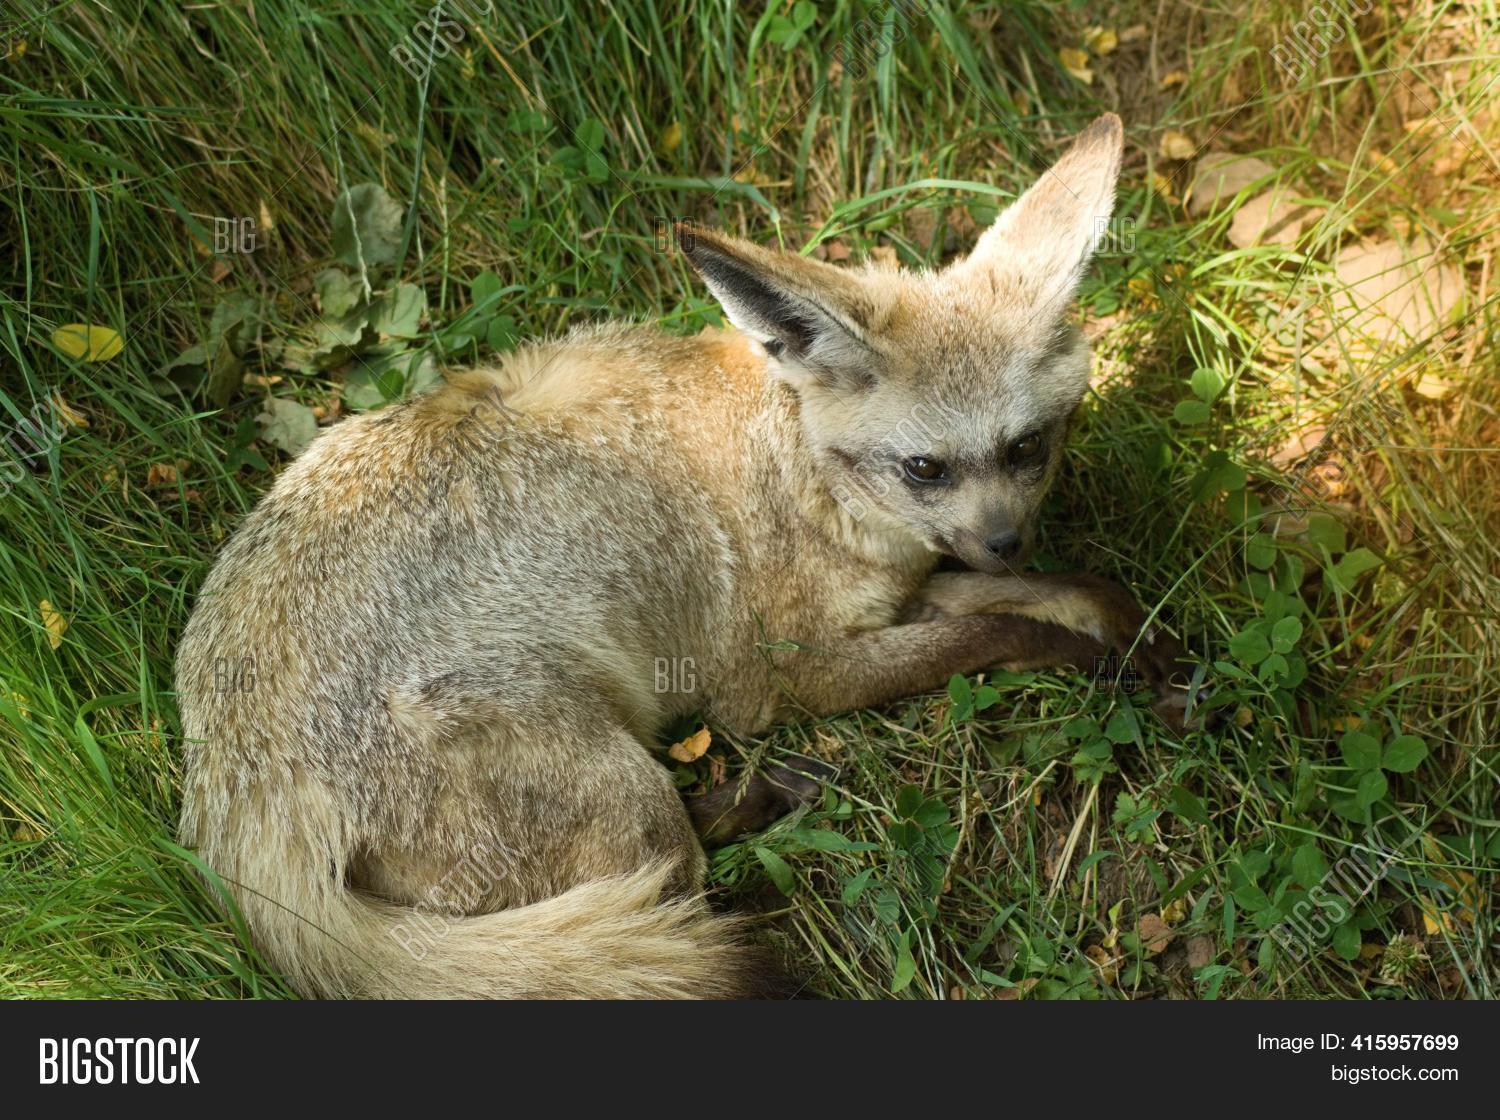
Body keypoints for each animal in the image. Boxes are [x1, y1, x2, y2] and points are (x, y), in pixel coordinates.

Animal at [175, 112, 1199, 999]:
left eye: (1028, 449)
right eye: (925, 467)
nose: (1003, 539)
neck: (798, 463)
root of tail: (239, 804)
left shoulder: (900, 595)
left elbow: (1050, 592)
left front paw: (1136, 635)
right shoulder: (776, 678)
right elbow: (988, 636)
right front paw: (1092, 658)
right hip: (626, 791)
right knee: (670, 890)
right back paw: (768, 794)